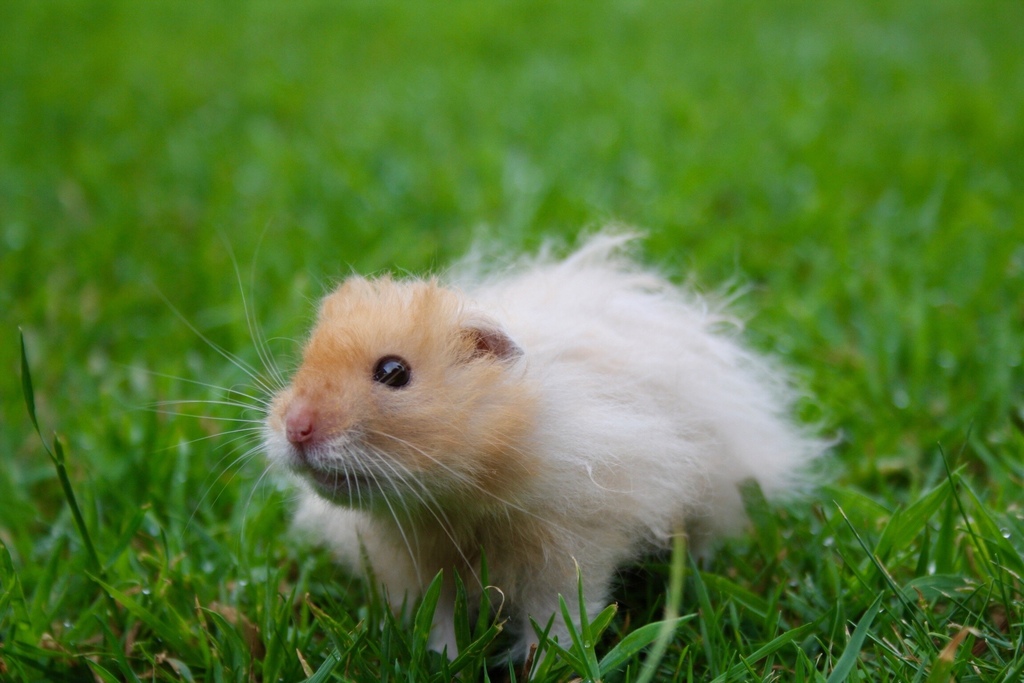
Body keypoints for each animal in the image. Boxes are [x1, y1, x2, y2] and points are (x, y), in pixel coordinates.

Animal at [262, 231, 822, 658]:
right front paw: (443, 659)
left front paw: (540, 662)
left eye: (393, 372)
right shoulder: (412, 564)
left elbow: (560, 616)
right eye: (305, 359)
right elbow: (433, 619)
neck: (458, 501)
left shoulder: (572, 543)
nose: (295, 428)